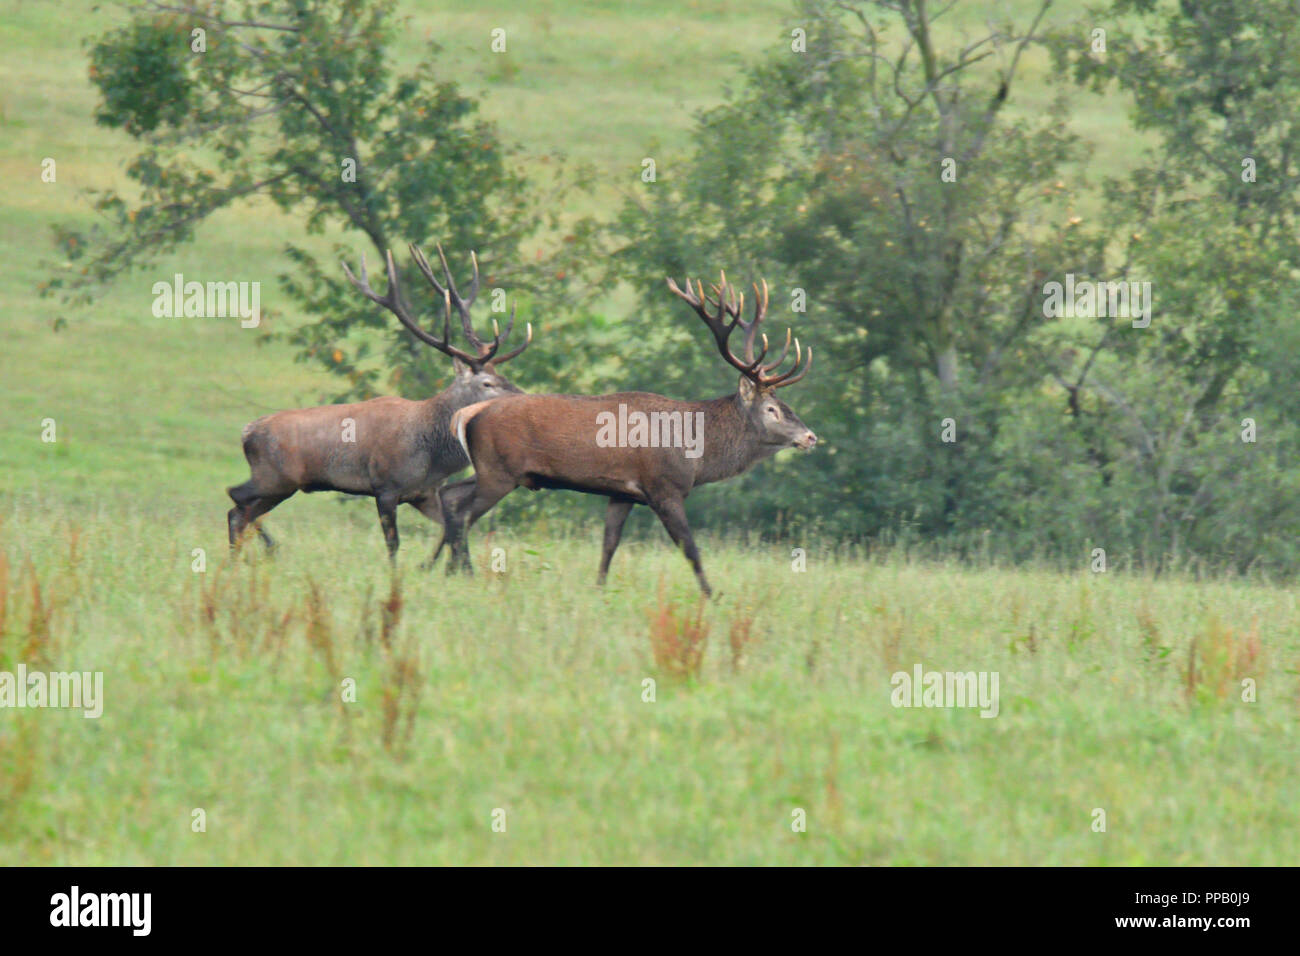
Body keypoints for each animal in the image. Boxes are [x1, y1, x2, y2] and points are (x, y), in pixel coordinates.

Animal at [226, 243, 532, 563]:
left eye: (504, 376)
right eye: (487, 384)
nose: (525, 398)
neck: (432, 455)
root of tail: (247, 432)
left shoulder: (424, 494)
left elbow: (451, 527)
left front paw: (434, 565)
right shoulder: (385, 486)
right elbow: (394, 544)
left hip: (280, 485)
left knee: (240, 511)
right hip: (275, 476)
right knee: (236, 499)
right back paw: (262, 551)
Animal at [432, 270, 816, 596]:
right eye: (772, 409)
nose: (810, 436)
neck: (697, 454)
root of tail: (468, 412)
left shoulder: (623, 493)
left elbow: (609, 545)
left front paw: (599, 589)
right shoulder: (664, 487)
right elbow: (690, 547)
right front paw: (712, 595)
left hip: (488, 469)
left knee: (449, 497)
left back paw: (443, 570)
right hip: (499, 472)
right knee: (463, 515)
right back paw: (463, 573)